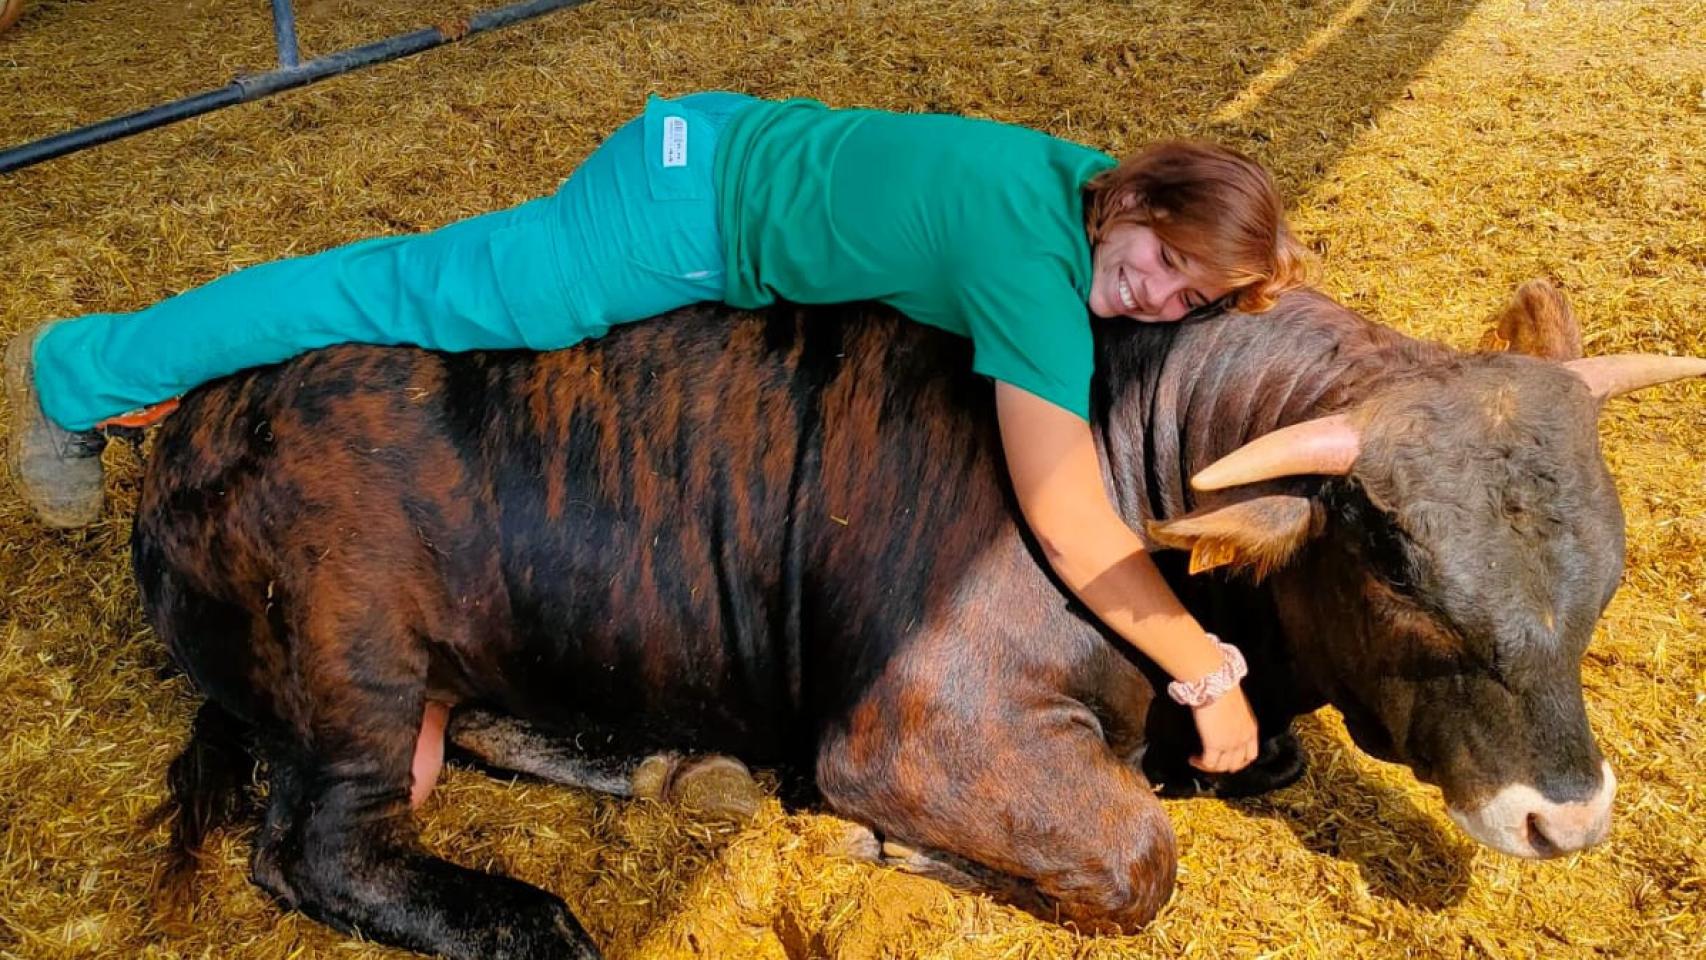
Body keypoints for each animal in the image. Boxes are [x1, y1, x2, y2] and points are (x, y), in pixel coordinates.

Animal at [133, 280, 1705, 959]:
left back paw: (674, 768)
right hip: (350, 666)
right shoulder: (916, 723)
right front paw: (871, 843)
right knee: (316, 846)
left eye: (1601, 580)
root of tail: (188, 424)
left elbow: (1257, 768)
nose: (1568, 817)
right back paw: (529, 920)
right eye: (1398, 571)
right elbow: (1133, 860)